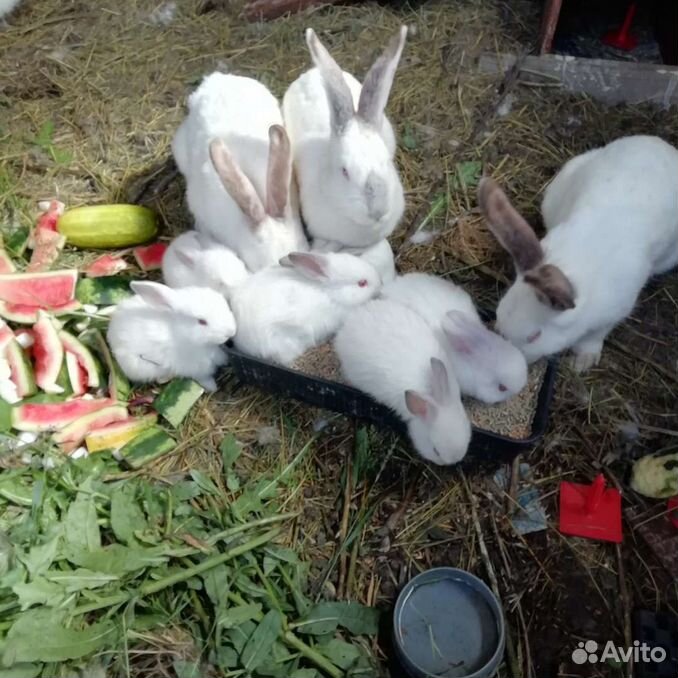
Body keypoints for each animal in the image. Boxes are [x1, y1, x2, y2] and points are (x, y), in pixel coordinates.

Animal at [107, 281, 236, 391]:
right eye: (201, 321)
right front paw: (212, 388)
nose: (231, 331)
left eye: (225, 304)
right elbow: (205, 379)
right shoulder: (197, 369)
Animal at [478, 135, 678, 373]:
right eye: (498, 313)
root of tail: (658, 143)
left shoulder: (612, 315)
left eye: (534, 336)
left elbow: (593, 338)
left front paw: (582, 363)